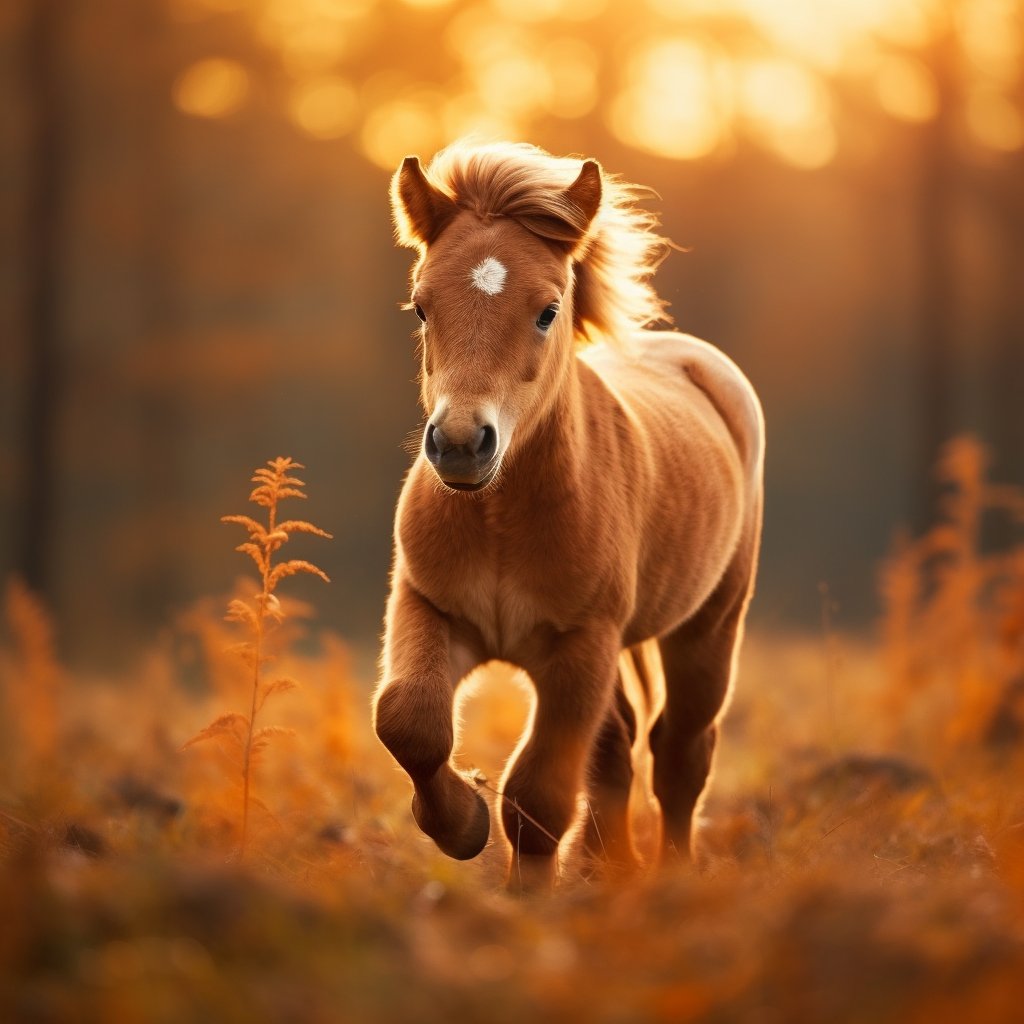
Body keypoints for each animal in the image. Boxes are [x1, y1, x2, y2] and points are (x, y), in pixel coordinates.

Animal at [372, 141, 764, 891]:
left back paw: (668, 872)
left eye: (548, 310)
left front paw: (527, 900)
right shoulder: (428, 607)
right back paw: (608, 869)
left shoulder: (581, 645)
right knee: (619, 746)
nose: (461, 444)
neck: (498, 518)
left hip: (708, 626)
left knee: (680, 751)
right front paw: (462, 825)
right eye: (421, 308)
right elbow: (409, 720)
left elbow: (538, 796)